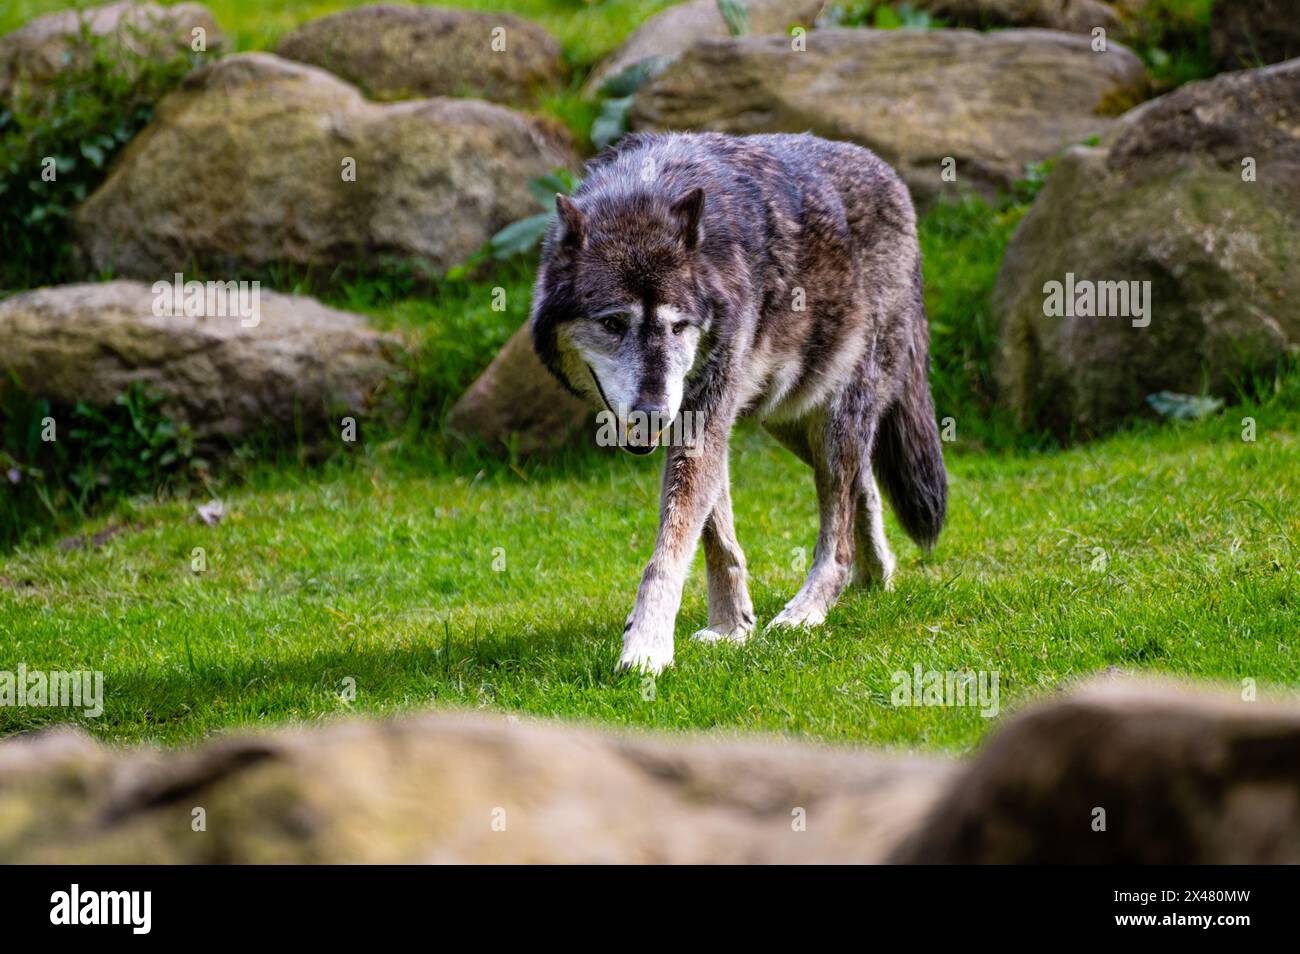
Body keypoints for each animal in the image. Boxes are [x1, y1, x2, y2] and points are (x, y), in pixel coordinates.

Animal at [530, 132, 947, 673]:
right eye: (614, 323)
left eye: (678, 326)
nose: (653, 414)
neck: (645, 188)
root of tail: (893, 179)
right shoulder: (706, 423)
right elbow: (715, 539)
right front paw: (732, 627)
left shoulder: (702, 419)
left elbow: (670, 547)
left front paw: (646, 646)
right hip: (793, 423)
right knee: (865, 486)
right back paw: (877, 577)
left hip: (832, 422)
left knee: (838, 535)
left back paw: (808, 611)